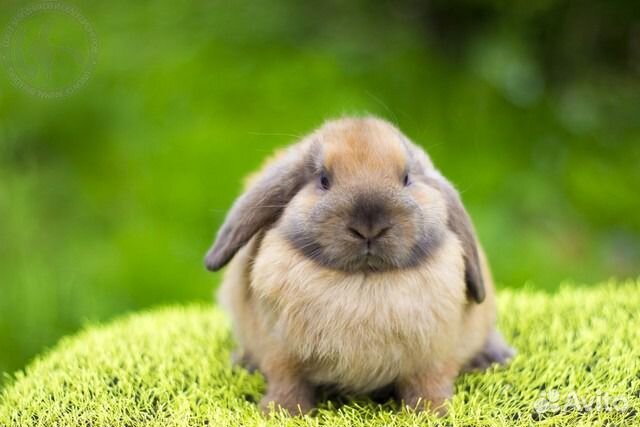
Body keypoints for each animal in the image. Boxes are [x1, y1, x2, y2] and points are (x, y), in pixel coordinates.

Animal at [205, 117, 515, 416]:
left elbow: (428, 385)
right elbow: (288, 383)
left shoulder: (433, 357)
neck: (364, 279)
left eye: (406, 178)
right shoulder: (280, 351)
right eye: (324, 179)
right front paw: (280, 412)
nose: (369, 226)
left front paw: (434, 413)